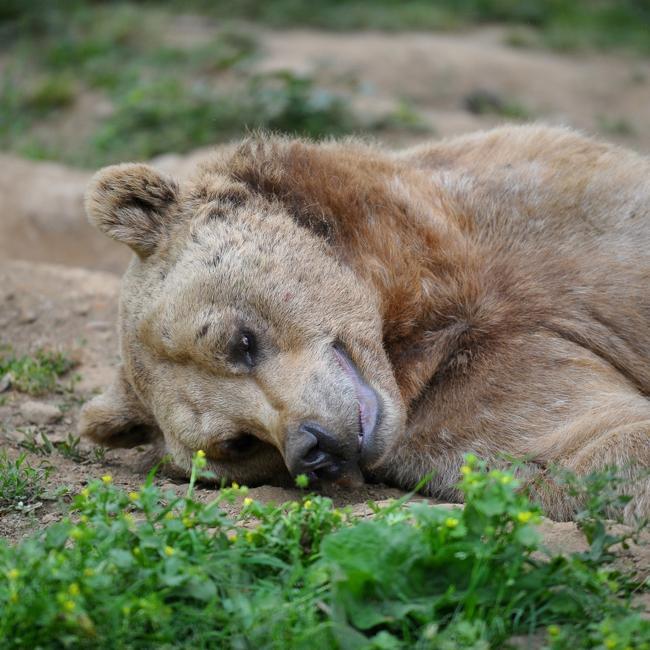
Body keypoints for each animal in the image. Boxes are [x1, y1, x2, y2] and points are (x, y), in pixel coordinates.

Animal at [79, 125, 650, 521]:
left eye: (239, 340)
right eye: (237, 443)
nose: (313, 449)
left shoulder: (549, 208)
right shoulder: (464, 406)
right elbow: (581, 439)